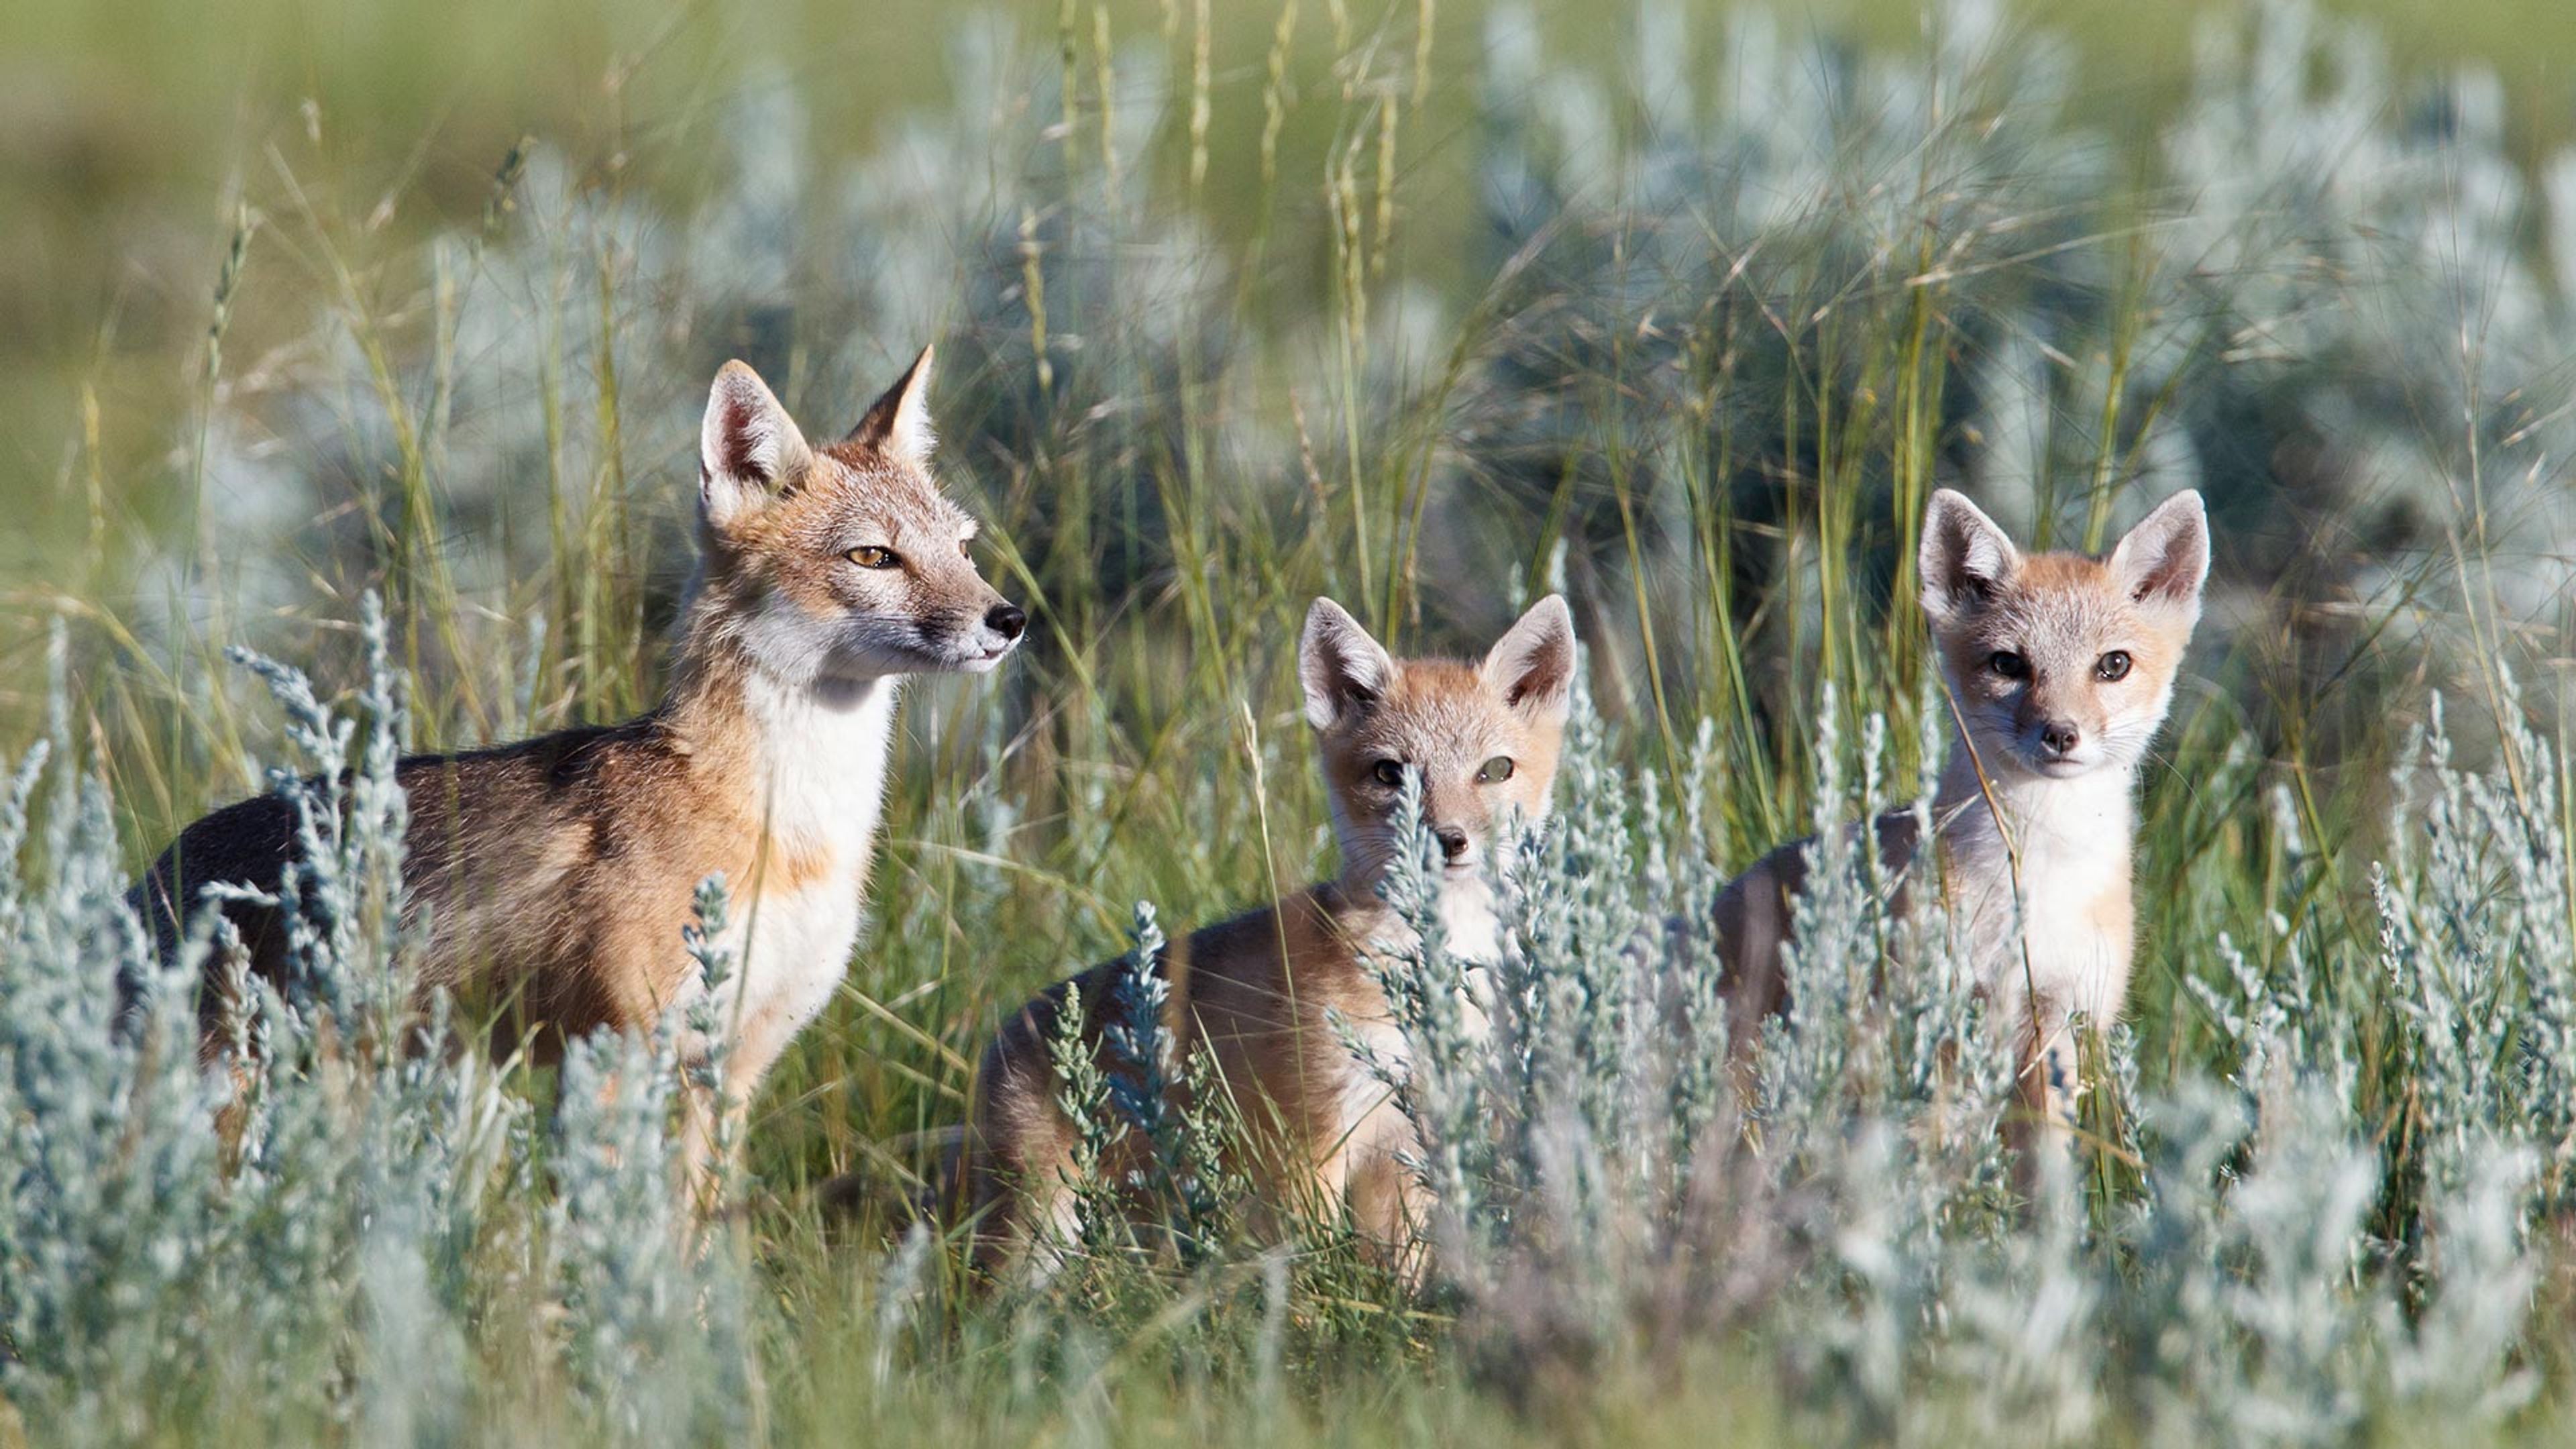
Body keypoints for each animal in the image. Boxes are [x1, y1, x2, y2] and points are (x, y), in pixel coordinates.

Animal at [133, 348, 1025, 1190]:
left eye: (963, 548)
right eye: (875, 556)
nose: (1009, 618)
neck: (791, 829)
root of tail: (155, 868)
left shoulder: (736, 1069)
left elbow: (699, 1235)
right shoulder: (618, 1053)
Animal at [955, 593, 1578, 1283]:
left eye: (1495, 770)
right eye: (1390, 773)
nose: (1449, 840)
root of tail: (1005, 1033)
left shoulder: (1403, 1141)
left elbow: (1399, 1271)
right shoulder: (1309, 1135)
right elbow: (1307, 1264)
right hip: (1039, 1235)